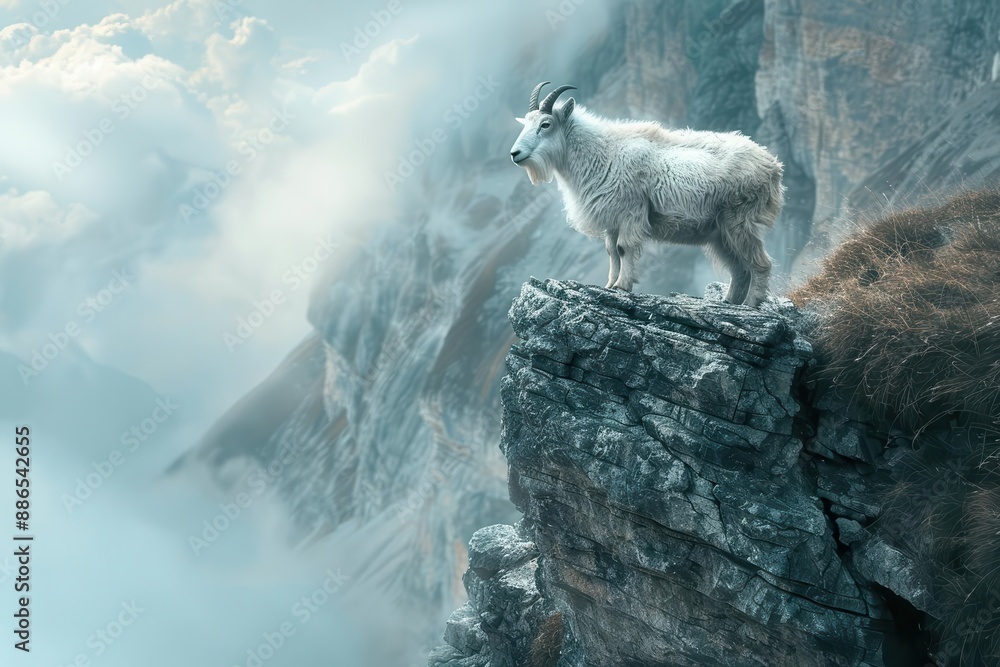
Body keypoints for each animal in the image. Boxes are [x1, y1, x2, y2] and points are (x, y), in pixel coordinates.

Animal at [509, 82, 784, 307]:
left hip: (739, 221)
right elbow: (611, 251)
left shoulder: (631, 212)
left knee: (761, 264)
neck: (603, 153)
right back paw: (729, 302)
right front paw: (609, 285)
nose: (515, 154)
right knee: (739, 270)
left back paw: (751, 304)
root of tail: (772, 166)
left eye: (545, 124)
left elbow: (623, 249)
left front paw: (622, 286)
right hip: (719, 233)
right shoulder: (612, 220)